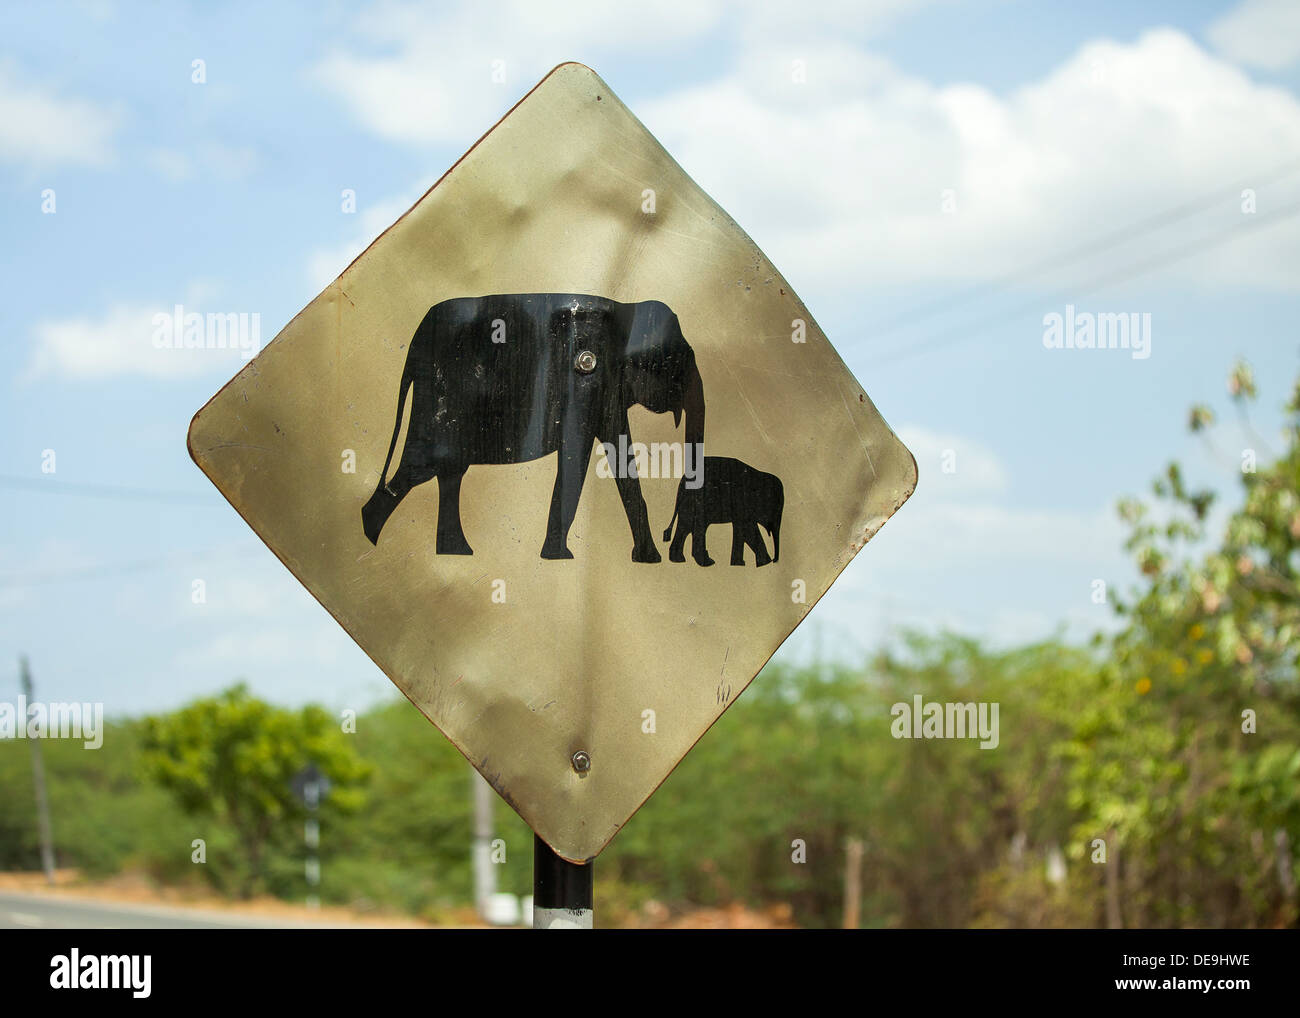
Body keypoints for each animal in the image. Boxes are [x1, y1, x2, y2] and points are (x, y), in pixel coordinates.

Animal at [361, 293, 706, 562]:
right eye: (681, 362)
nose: (667, 542)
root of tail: (415, 341)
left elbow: (617, 452)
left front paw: (646, 559)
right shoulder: (584, 374)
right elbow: (577, 457)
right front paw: (560, 557)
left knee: (449, 473)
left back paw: (453, 551)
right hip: (438, 399)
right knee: (423, 467)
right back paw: (371, 532)